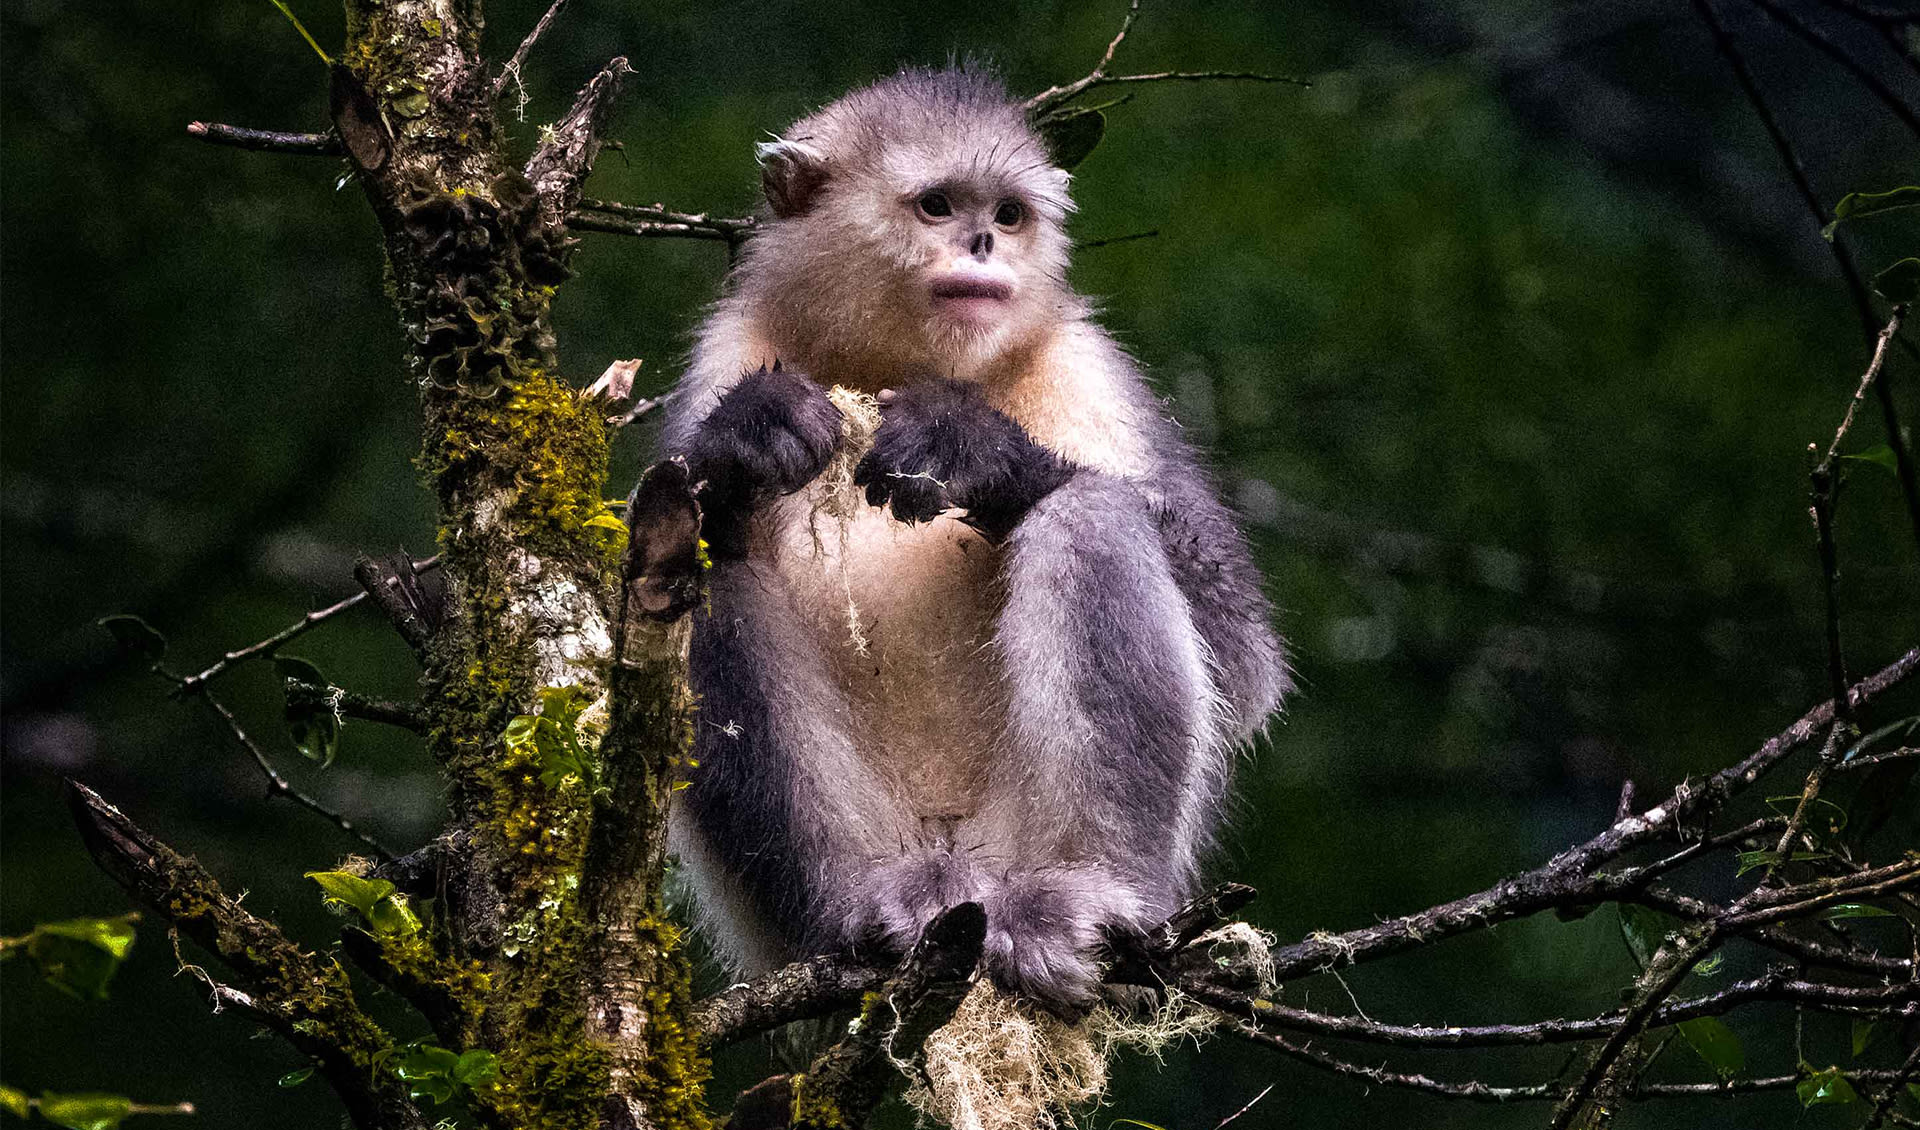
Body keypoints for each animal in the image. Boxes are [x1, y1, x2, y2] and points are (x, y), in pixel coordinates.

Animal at [656, 64, 1288, 1007]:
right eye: (937, 206)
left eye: (1010, 213)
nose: (986, 243)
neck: (894, 367)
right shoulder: (730, 352)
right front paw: (748, 437)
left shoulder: (1087, 367)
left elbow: (1244, 668)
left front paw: (974, 450)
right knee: (703, 576)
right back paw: (871, 902)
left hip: (1024, 848)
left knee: (1089, 517)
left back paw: (1082, 895)